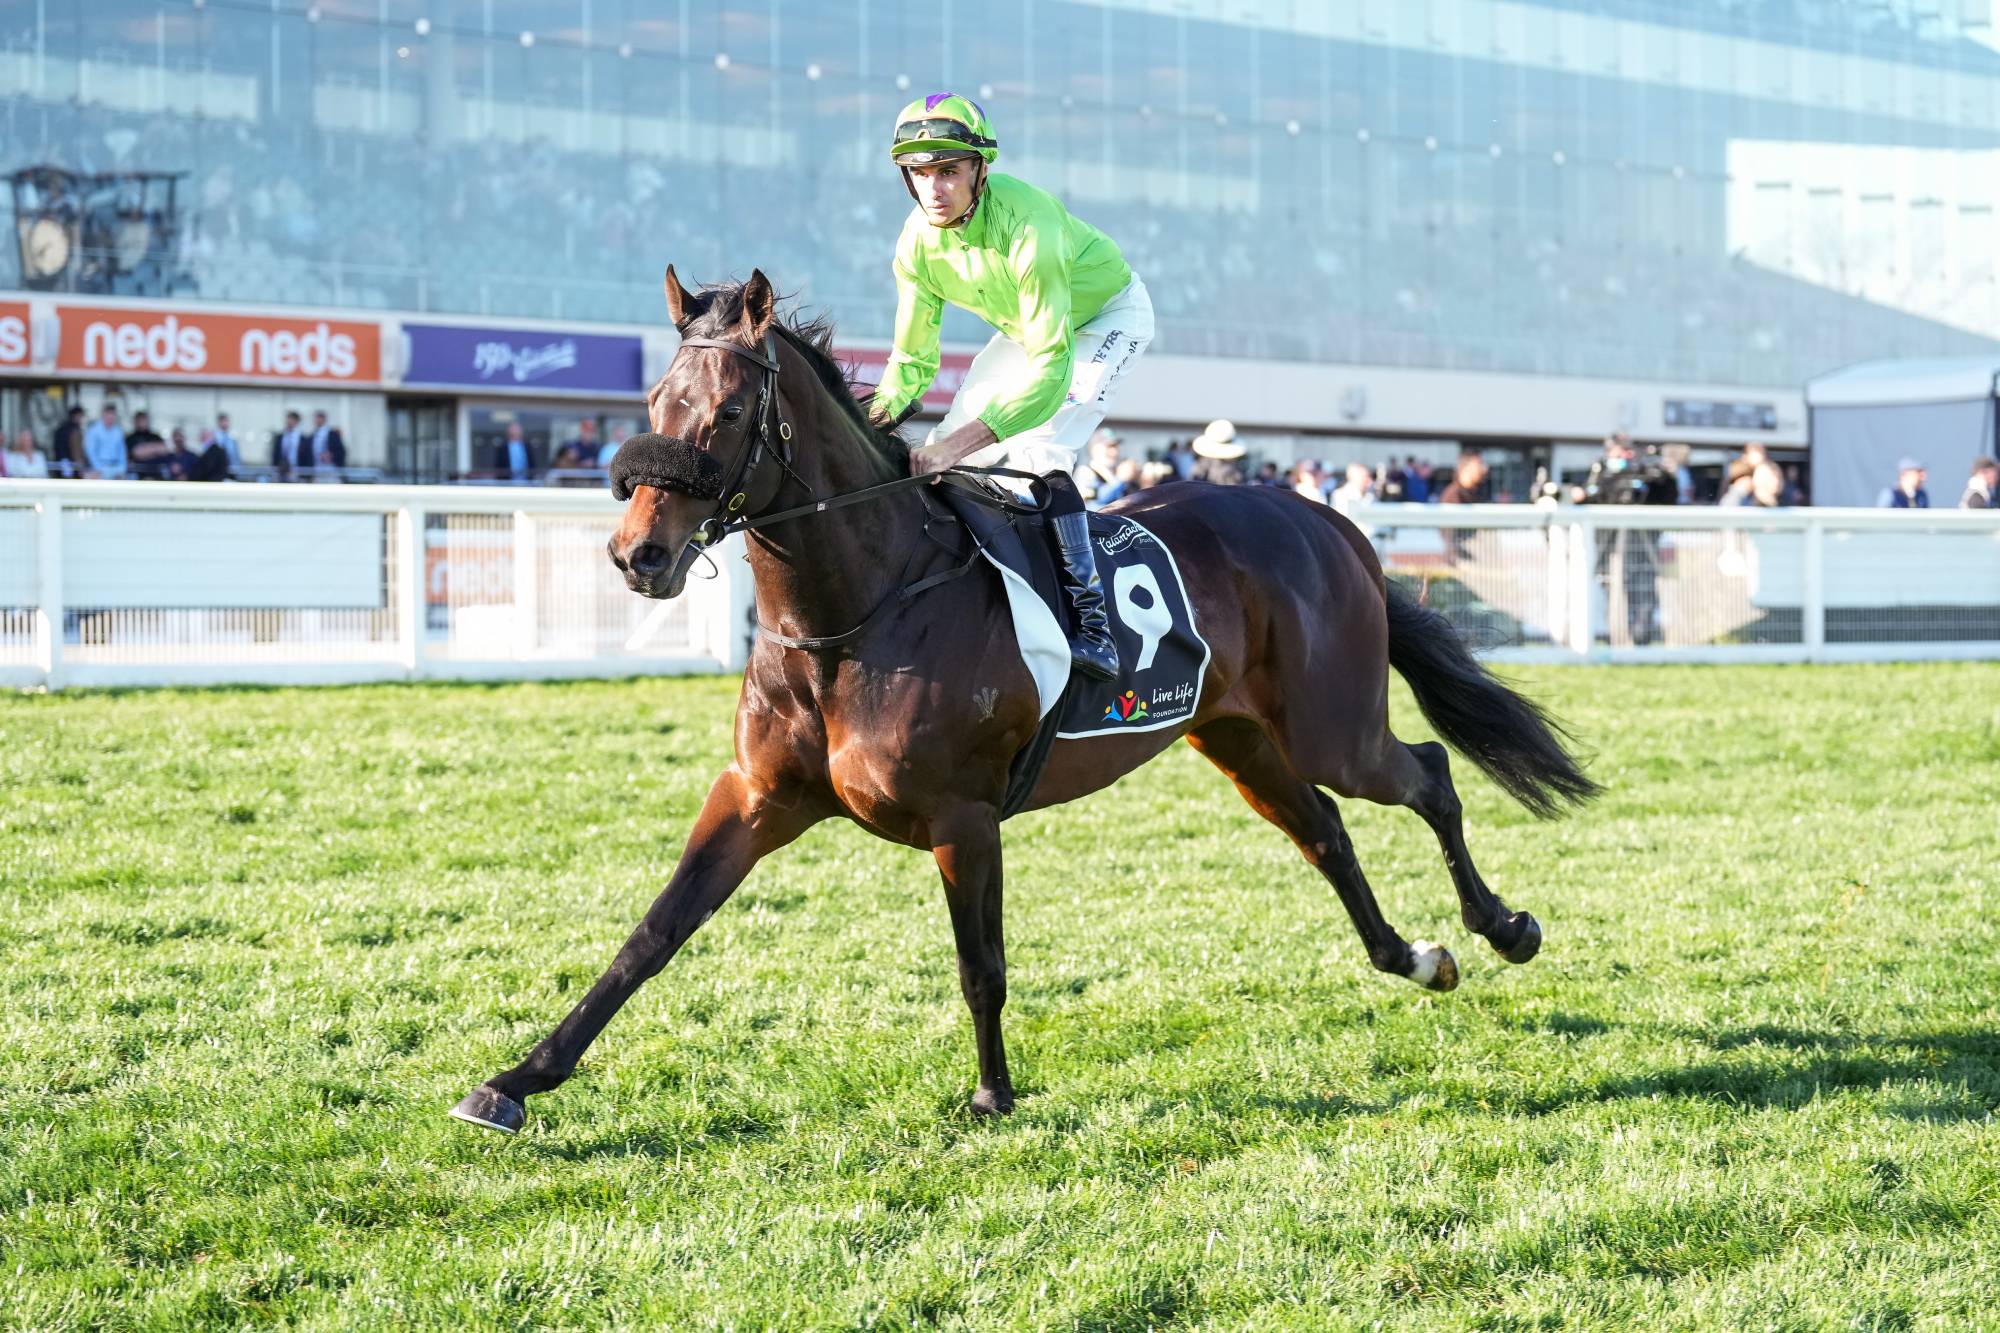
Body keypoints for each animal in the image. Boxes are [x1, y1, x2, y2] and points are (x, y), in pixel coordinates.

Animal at [447, 267, 1600, 1135]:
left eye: (728, 411)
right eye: (653, 406)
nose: (636, 553)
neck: (855, 613)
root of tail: (1327, 517)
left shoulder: (963, 815)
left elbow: (980, 965)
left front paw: (992, 1091)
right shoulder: (756, 796)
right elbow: (649, 936)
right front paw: (513, 1081)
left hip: (1331, 725)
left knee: (1429, 776)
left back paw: (1501, 926)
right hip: (1238, 735)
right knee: (1325, 834)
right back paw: (1413, 955)